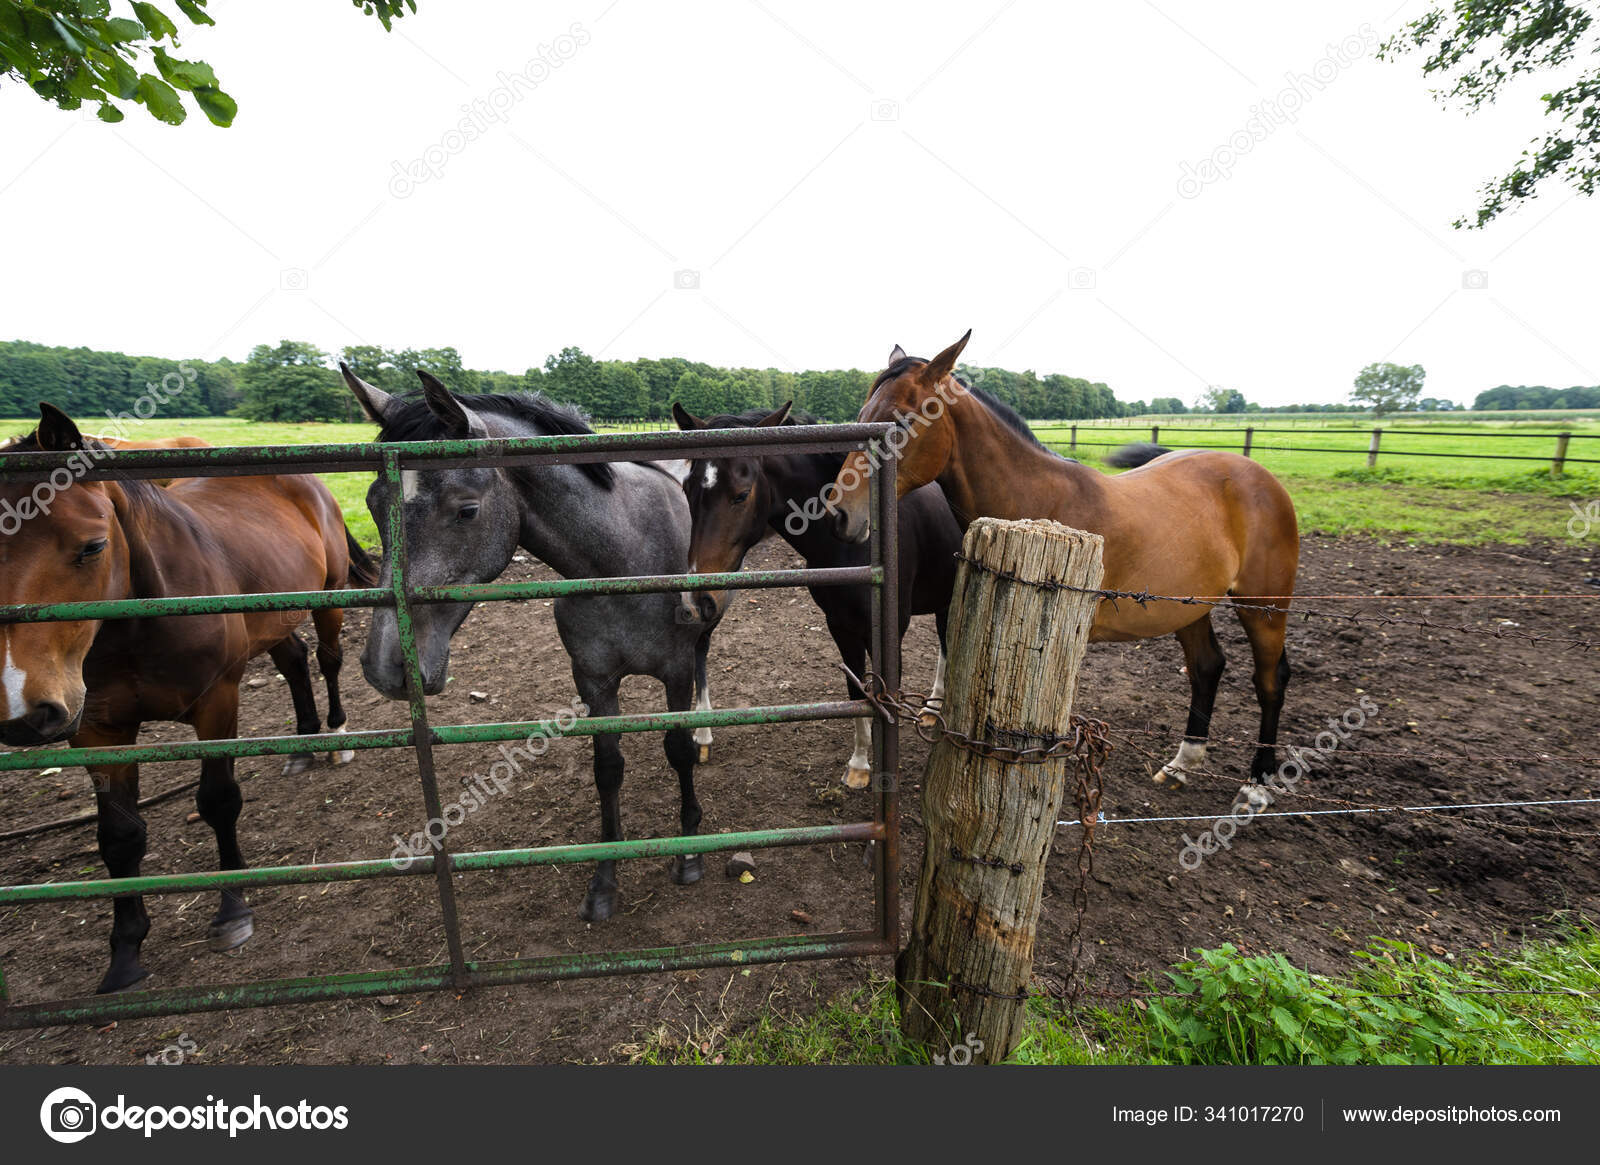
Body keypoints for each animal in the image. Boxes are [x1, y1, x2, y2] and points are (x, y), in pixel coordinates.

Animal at [0, 404, 375, 993]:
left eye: (92, 546)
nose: (25, 711)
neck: (137, 621)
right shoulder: (97, 731)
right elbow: (119, 836)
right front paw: (126, 951)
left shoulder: (216, 705)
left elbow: (218, 801)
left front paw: (232, 910)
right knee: (293, 661)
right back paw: (302, 745)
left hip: (329, 597)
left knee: (328, 660)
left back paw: (335, 736)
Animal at [339, 365, 718, 922]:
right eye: (371, 503)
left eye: (467, 510)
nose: (386, 667)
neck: (624, 558)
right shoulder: (593, 680)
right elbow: (608, 769)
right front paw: (604, 880)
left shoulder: (675, 672)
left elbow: (678, 750)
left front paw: (689, 852)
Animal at [670, 401, 963, 789]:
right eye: (687, 489)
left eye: (741, 494)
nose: (699, 599)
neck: (856, 539)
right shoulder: (840, 626)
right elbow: (858, 691)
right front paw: (859, 765)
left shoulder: (889, 630)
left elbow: (885, 692)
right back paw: (931, 712)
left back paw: (931, 711)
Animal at [831, 334, 1301, 804]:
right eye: (861, 417)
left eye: (901, 420)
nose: (840, 514)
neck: (1039, 508)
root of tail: (1258, 475)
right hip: (1188, 607)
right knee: (1207, 668)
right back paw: (1182, 765)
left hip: (1264, 607)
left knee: (1270, 681)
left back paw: (1257, 785)